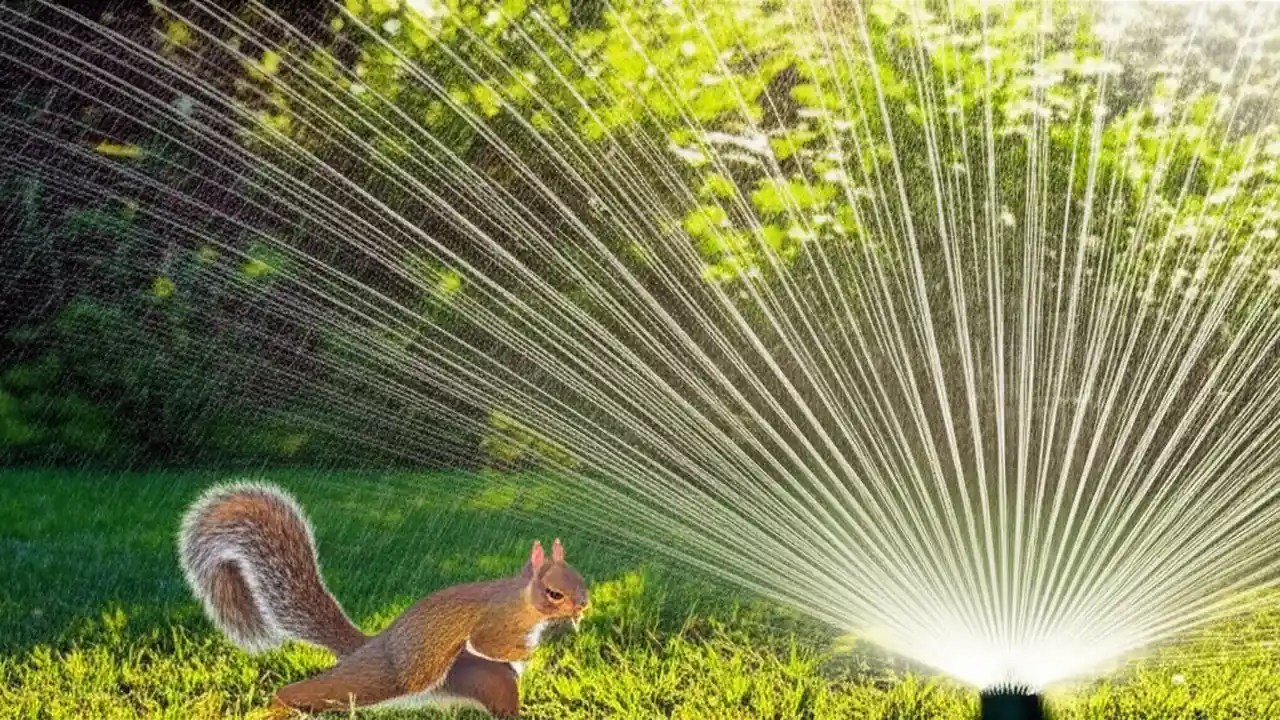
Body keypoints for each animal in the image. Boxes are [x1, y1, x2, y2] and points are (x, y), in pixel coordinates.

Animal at [177, 482, 588, 716]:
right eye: (553, 593)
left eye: (581, 578)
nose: (583, 605)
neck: (523, 600)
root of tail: (369, 645)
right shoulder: (494, 619)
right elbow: (485, 641)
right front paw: (527, 651)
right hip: (382, 677)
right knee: (315, 691)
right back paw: (276, 707)